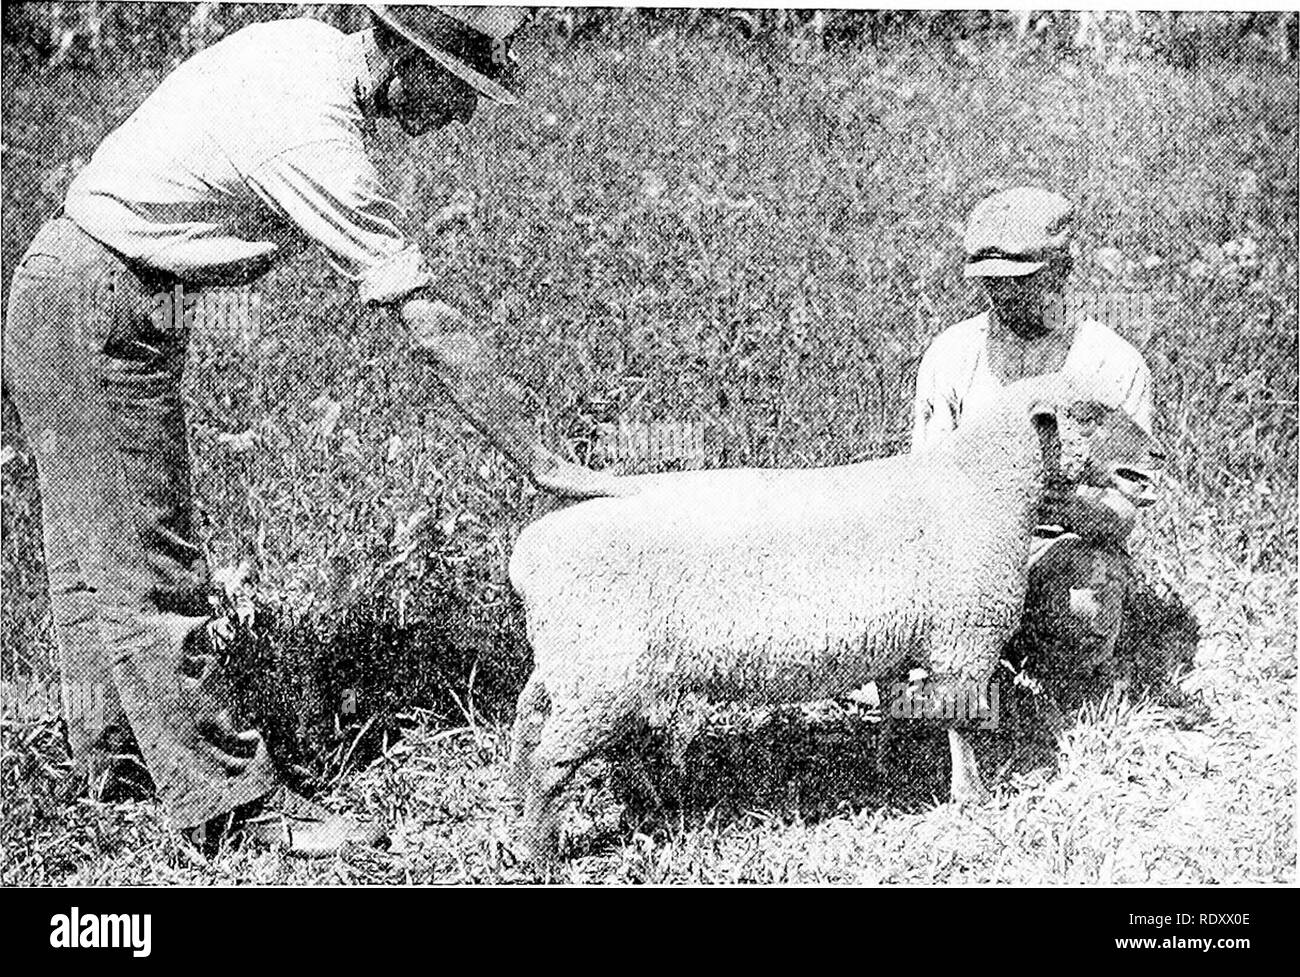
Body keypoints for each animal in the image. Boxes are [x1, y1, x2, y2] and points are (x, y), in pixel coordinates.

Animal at [507, 371, 1163, 861]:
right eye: (1090, 414)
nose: (1157, 455)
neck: (981, 488)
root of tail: (530, 550)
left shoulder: (911, 643)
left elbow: (910, 709)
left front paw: (892, 766)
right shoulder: (966, 637)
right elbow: (964, 722)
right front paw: (971, 797)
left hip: (570, 663)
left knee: (528, 726)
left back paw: (527, 825)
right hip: (602, 672)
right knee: (549, 763)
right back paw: (540, 856)